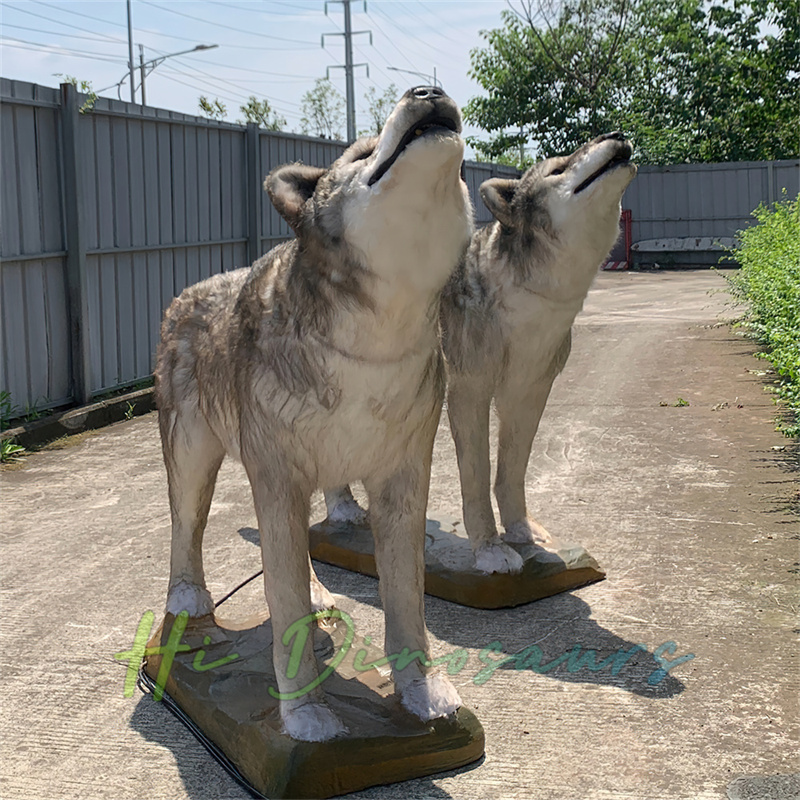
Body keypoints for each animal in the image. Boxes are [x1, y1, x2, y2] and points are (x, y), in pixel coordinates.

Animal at [154, 86, 473, 742]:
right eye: (362, 153)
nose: (428, 91)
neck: (372, 342)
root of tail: (184, 293)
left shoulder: (403, 481)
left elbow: (407, 601)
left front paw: (423, 696)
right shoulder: (278, 480)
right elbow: (284, 608)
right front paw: (305, 717)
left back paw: (324, 598)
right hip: (194, 458)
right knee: (184, 529)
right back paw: (187, 599)